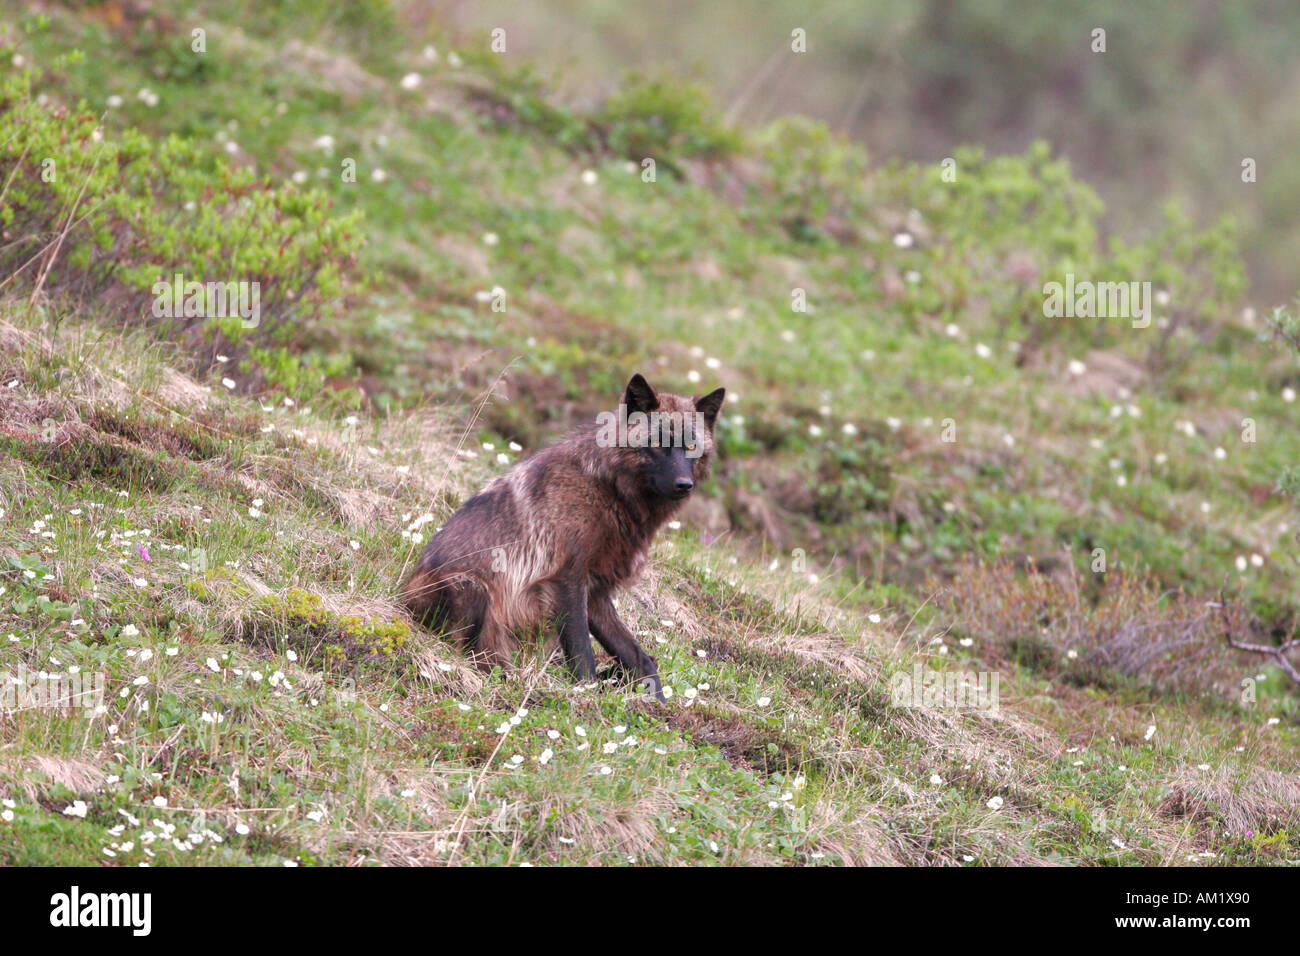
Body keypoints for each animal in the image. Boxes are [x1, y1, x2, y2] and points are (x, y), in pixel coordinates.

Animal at [402, 374, 725, 701]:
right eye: (658, 442)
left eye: (692, 445)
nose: (684, 484)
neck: (609, 490)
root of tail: (400, 600)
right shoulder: (566, 580)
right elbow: (583, 653)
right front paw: (586, 697)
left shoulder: (596, 591)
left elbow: (638, 655)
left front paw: (657, 703)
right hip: (472, 588)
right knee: (467, 655)